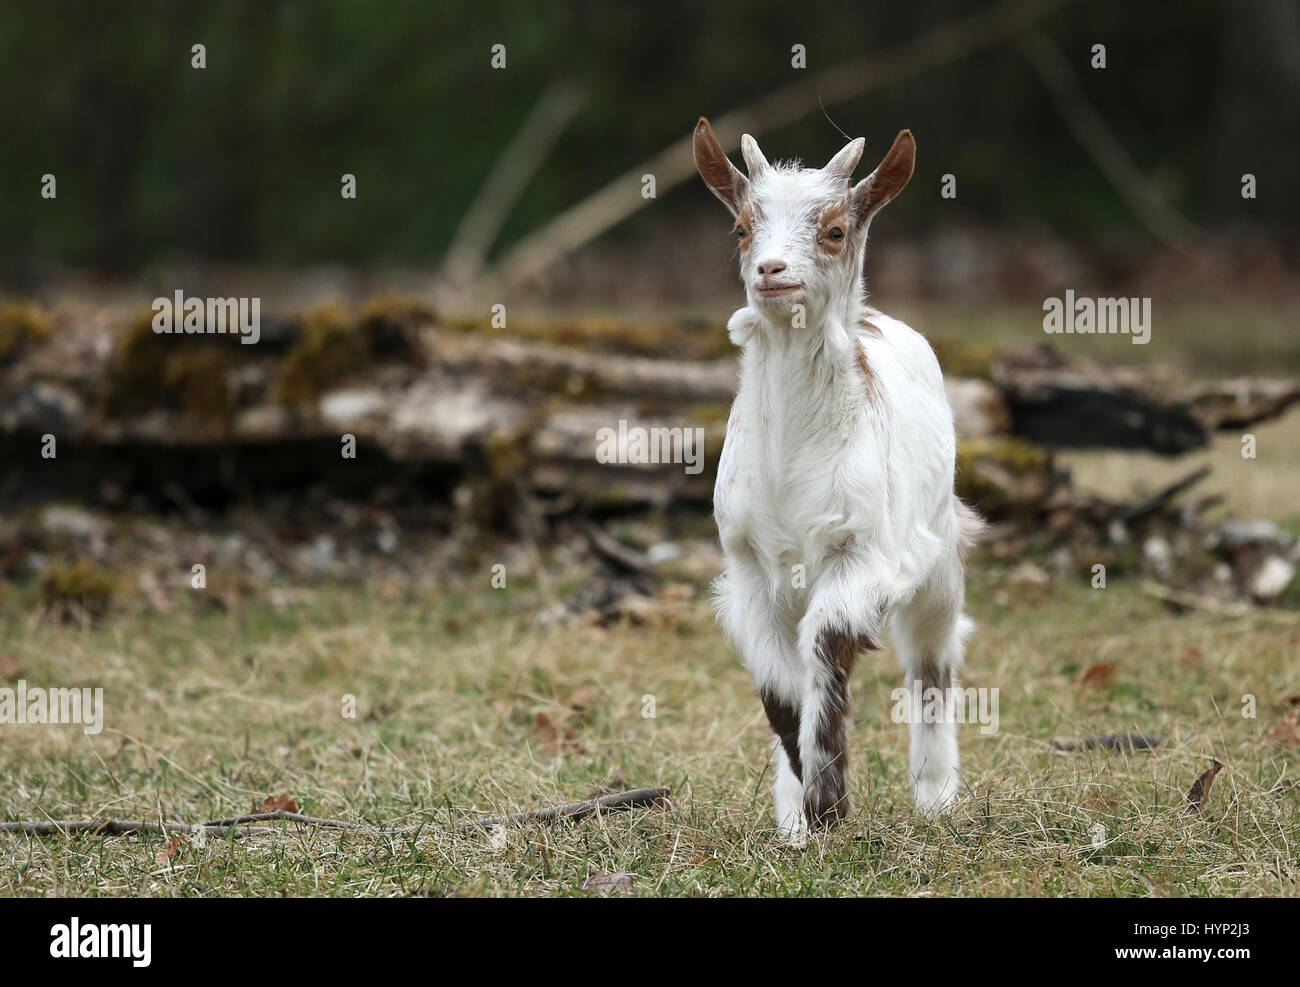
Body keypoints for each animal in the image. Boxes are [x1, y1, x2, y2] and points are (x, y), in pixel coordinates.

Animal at [692, 117, 980, 842]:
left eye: (834, 231)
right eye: (742, 227)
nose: (771, 270)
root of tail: (878, 318)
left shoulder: (864, 552)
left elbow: (828, 643)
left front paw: (828, 800)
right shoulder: (747, 566)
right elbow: (778, 684)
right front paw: (802, 806)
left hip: (939, 546)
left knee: (933, 658)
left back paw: (936, 794)